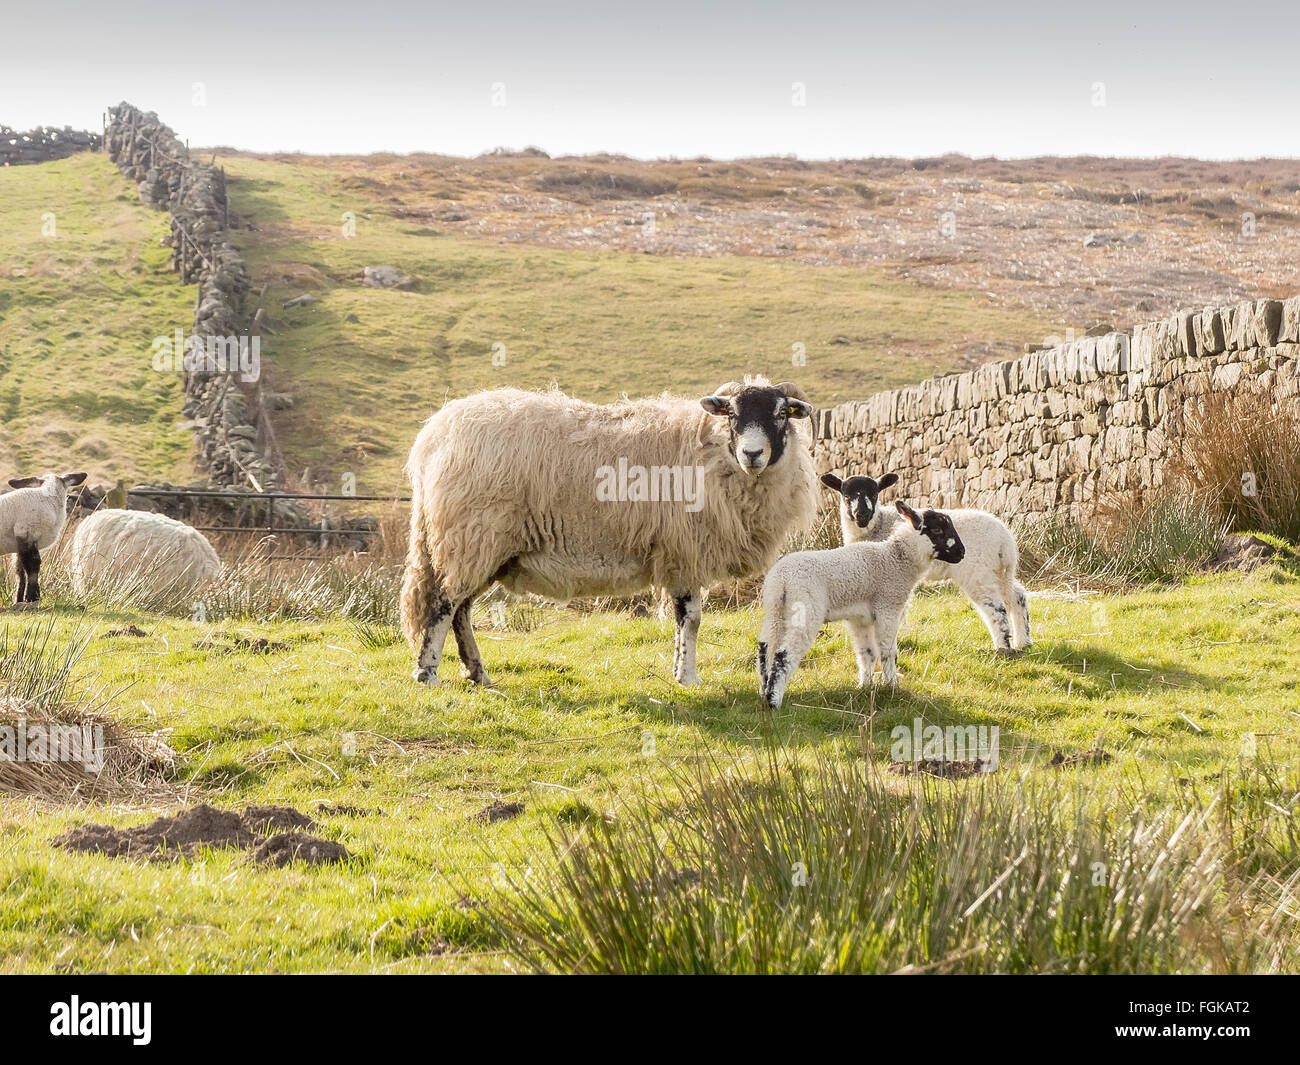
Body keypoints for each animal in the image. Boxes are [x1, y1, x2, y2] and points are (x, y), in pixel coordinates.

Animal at [0, 471, 86, 606]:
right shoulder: (27, 532)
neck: (49, 498)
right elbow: (33, 565)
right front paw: (33, 597)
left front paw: (19, 600)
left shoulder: (19, 544)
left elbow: (20, 572)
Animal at [400, 378, 819, 687]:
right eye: (731, 413)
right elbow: (692, 619)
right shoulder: (683, 551)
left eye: (781, 414)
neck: (715, 456)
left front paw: (679, 671)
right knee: (443, 604)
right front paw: (688, 678)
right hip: (469, 535)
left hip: (481, 547)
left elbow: (685, 620)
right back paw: (427, 673)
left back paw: (477, 673)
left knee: (461, 609)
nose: (752, 454)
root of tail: (433, 436)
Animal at [758, 501, 965, 708]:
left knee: (765, 649)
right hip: (805, 608)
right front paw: (891, 686)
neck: (897, 559)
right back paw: (774, 702)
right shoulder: (888, 607)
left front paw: (865, 686)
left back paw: (764, 692)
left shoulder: (860, 619)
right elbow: (888, 651)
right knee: (783, 655)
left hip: (775, 611)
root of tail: (781, 580)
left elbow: (867, 653)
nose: (962, 553)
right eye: (937, 529)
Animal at [821, 470, 1031, 653]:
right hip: (999, 572)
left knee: (996, 608)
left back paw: (1003, 648)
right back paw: (1024, 642)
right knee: (1017, 596)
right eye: (846, 495)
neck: (877, 525)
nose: (862, 515)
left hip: (979, 573)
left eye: (874, 494)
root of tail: (1006, 542)